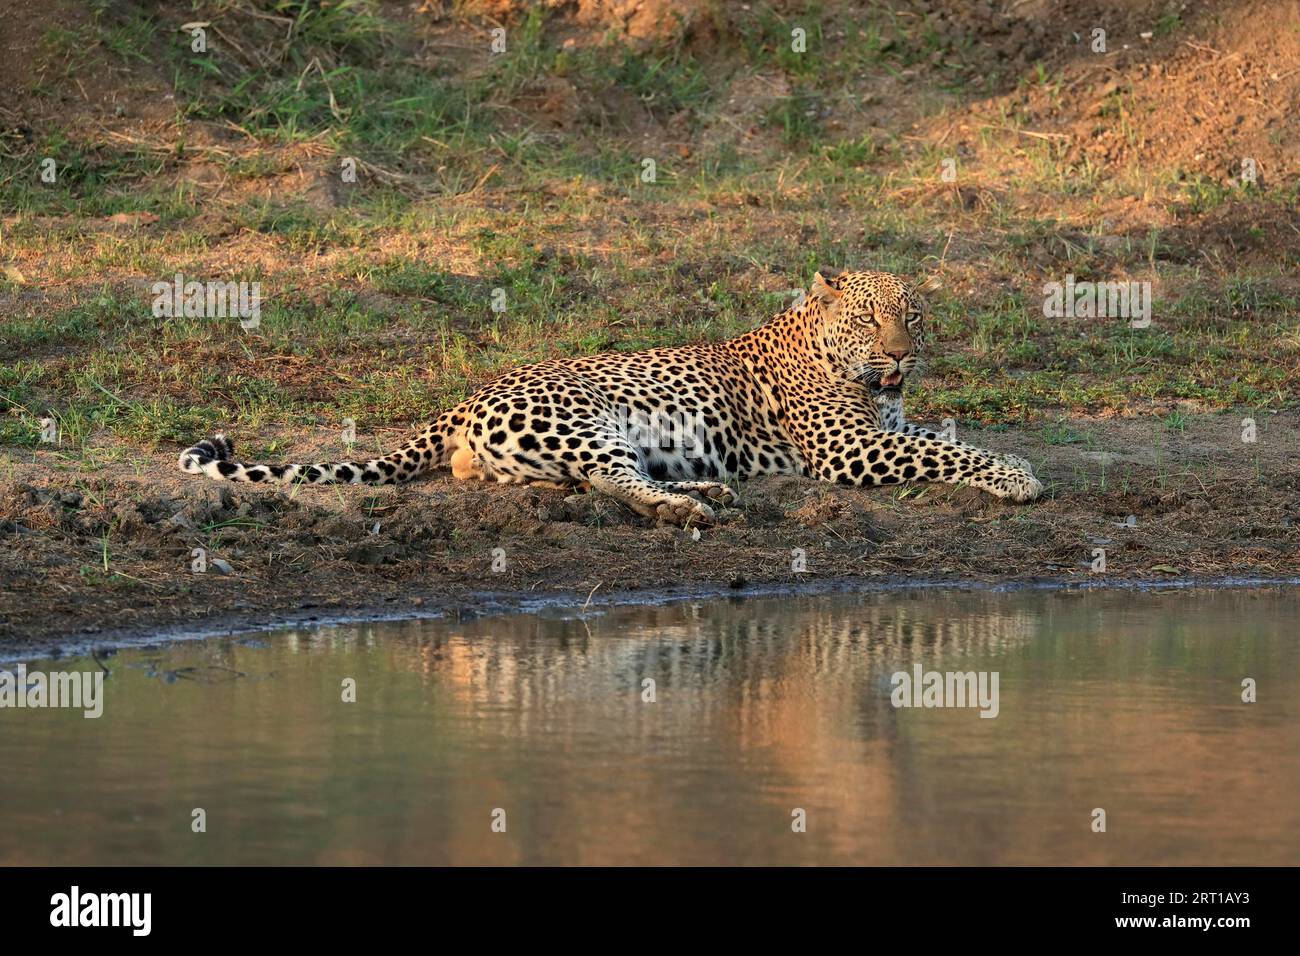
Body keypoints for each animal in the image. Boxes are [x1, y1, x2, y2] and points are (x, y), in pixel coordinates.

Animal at [178, 268, 1044, 524]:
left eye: (914, 315)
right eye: (869, 318)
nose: (903, 352)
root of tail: (469, 394)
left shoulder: (885, 426)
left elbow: (941, 436)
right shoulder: (849, 449)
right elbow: (950, 450)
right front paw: (1018, 476)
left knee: (585, 481)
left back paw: (703, 494)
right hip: (586, 419)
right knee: (608, 477)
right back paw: (687, 508)